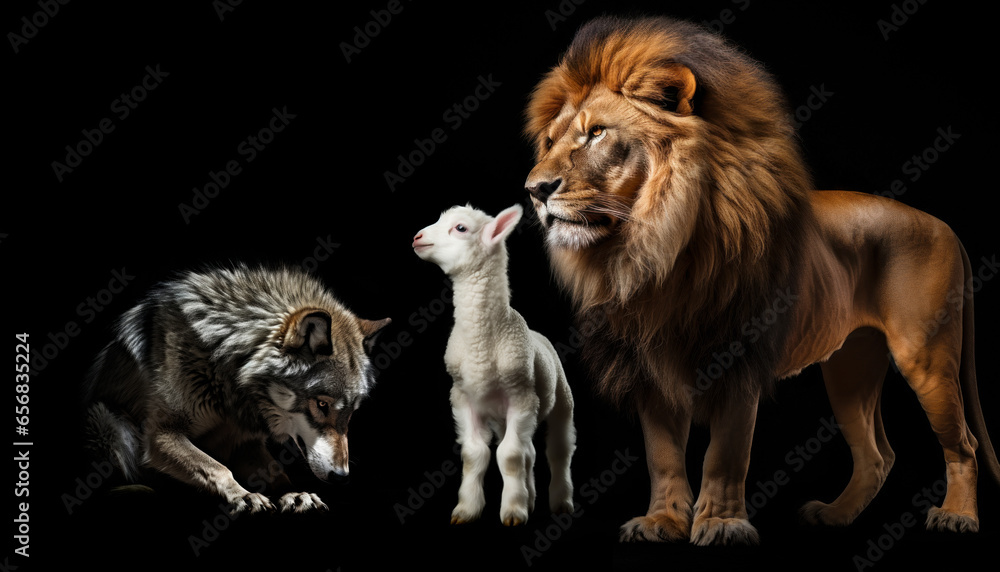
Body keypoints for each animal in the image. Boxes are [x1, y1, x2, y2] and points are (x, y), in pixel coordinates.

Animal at [412, 203, 576, 526]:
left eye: (460, 228)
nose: (417, 237)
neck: (481, 345)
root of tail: (539, 335)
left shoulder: (521, 396)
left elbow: (509, 456)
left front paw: (513, 511)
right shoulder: (462, 398)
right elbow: (475, 455)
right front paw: (467, 509)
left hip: (561, 399)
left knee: (558, 451)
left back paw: (561, 502)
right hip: (504, 418)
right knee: (529, 453)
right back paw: (530, 497)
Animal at [523, 15, 999, 546]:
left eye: (597, 133)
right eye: (551, 141)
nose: (534, 190)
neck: (652, 248)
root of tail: (943, 225)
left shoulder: (738, 358)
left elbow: (725, 454)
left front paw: (721, 523)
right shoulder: (648, 367)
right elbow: (662, 456)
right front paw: (662, 521)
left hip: (926, 356)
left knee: (964, 444)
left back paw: (958, 516)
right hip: (849, 367)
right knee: (878, 455)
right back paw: (834, 516)